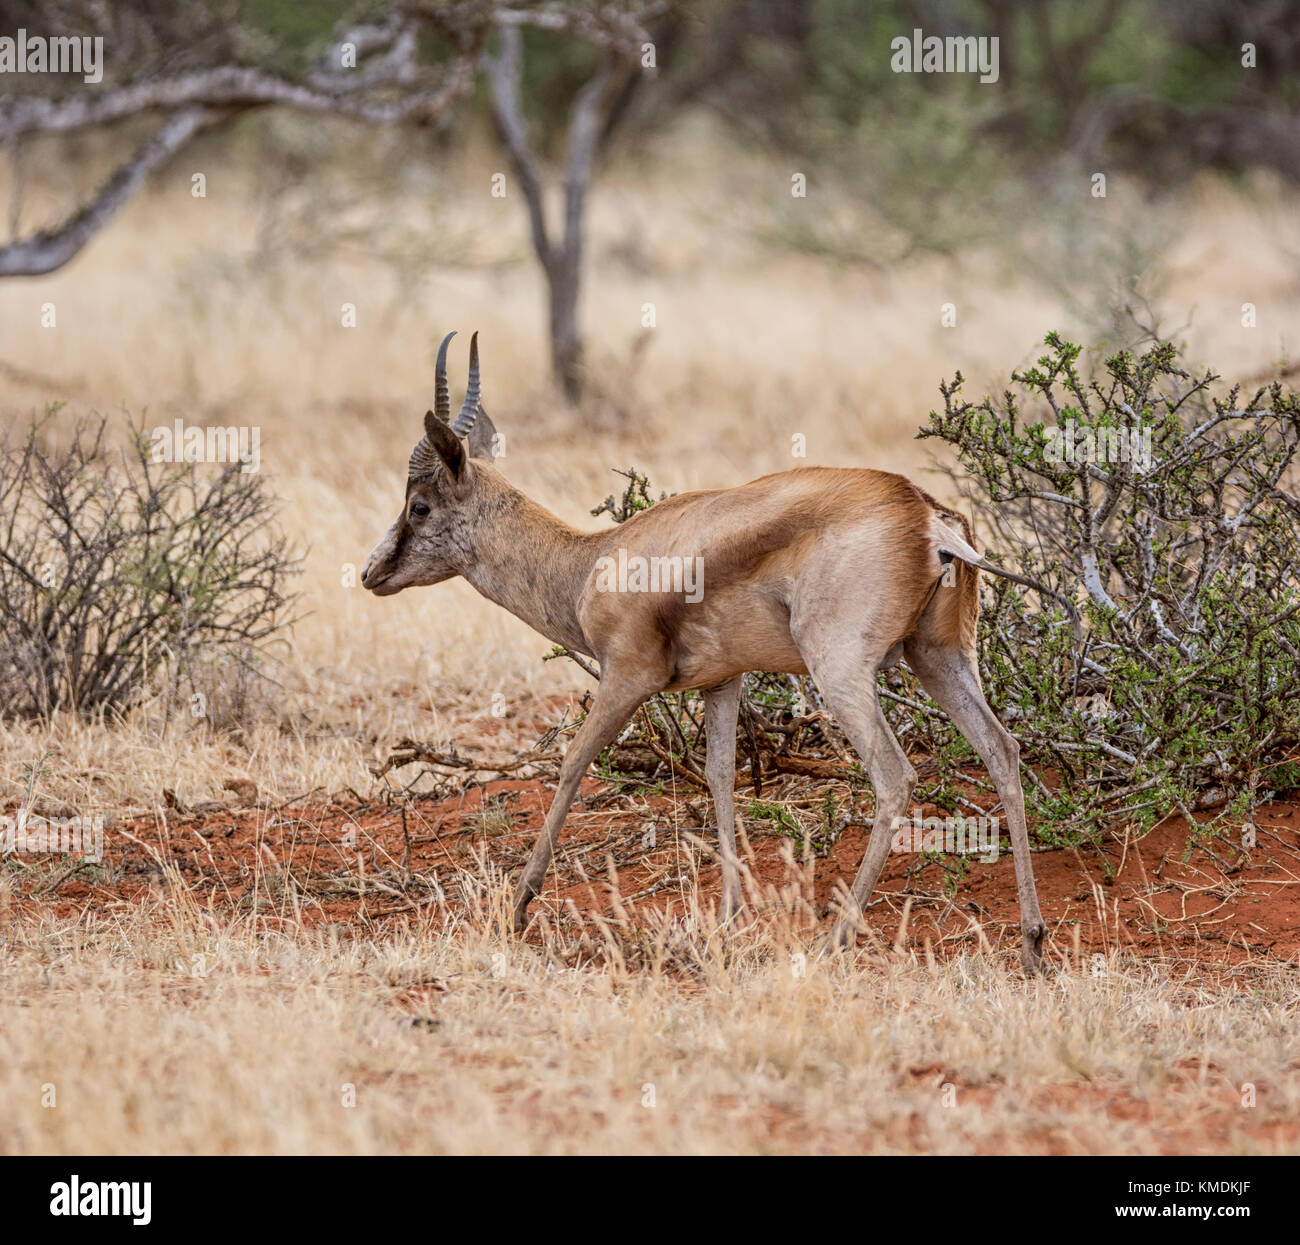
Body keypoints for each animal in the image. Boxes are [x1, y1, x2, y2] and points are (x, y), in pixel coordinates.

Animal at [362, 332, 1048, 972]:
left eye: (419, 505)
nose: (371, 573)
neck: (588, 563)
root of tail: (927, 518)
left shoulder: (626, 678)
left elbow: (573, 762)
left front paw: (518, 907)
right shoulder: (724, 681)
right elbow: (721, 775)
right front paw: (728, 917)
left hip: (840, 671)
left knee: (895, 777)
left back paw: (834, 941)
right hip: (937, 658)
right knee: (1003, 751)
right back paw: (1032, 943)